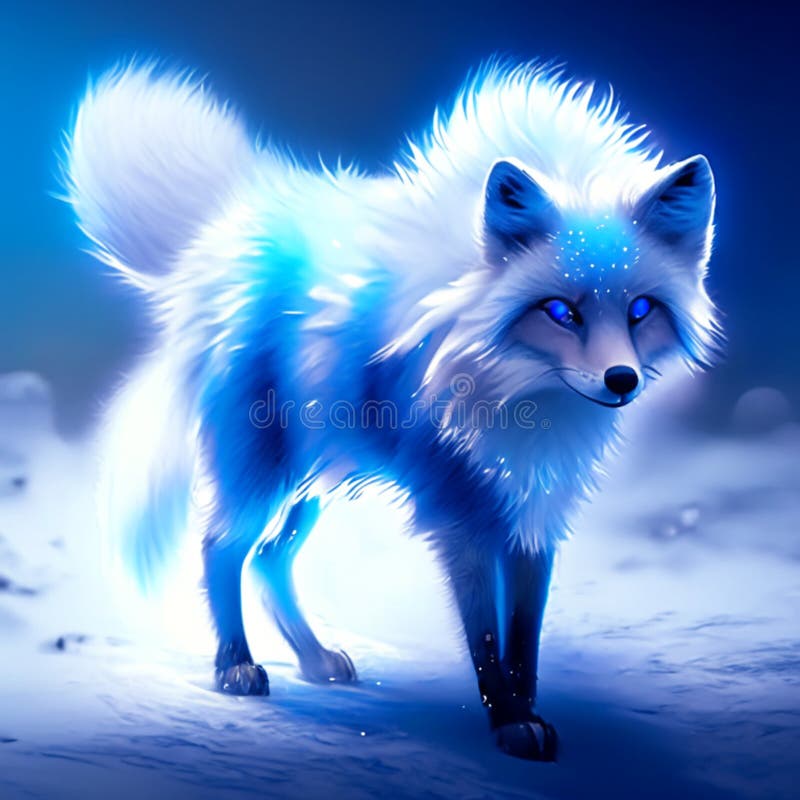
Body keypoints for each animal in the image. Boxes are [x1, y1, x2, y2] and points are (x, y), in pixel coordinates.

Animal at [65, 60, 721, 761]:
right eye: (561, 311)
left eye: (641, 310)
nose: (621, 380)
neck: (519, 398)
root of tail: (236, 220)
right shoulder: (455, 510)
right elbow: (485, 637)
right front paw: (507, 720)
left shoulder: (533, 511)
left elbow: (525, 636)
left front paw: (529, 713)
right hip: (262, 469)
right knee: (222, 546)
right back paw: (234, 666)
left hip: (316, 476)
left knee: (269, 559)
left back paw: (315, 660)